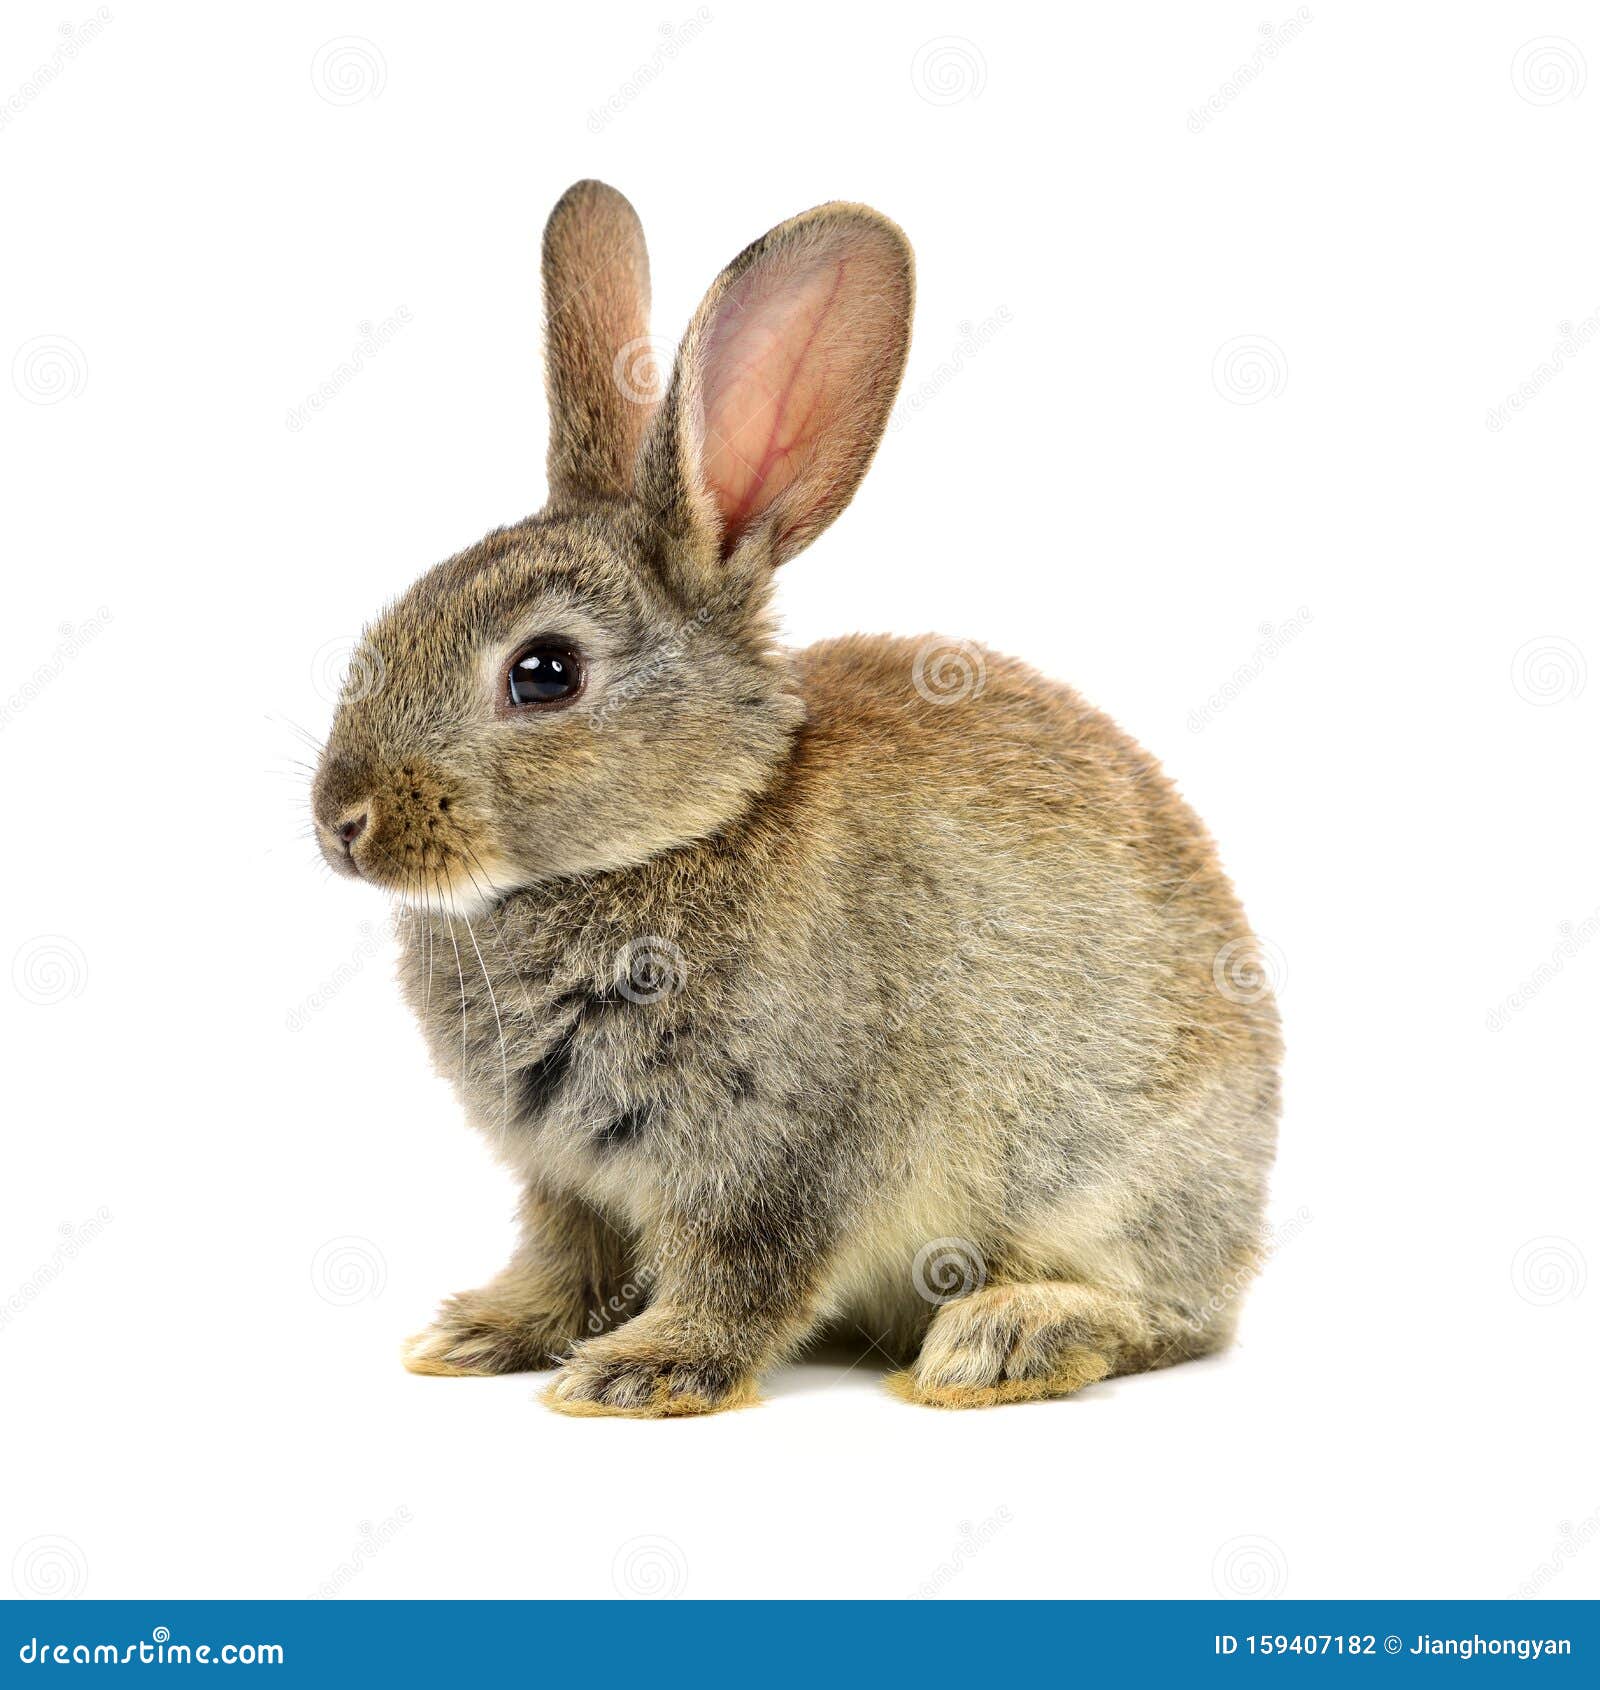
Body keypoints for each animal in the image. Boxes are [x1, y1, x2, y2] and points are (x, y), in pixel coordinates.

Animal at [310, 180, 1281, 1416]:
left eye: (544, 672)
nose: (340, 822)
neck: (681, 833)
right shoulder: (566, 1180)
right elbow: (563, 1262)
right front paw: (482, 1335)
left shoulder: (782, 1153)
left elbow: (744, 1271)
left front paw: (640, 1373)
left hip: (1121, 1187)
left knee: (1165, 1317)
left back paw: (1002, 1339)